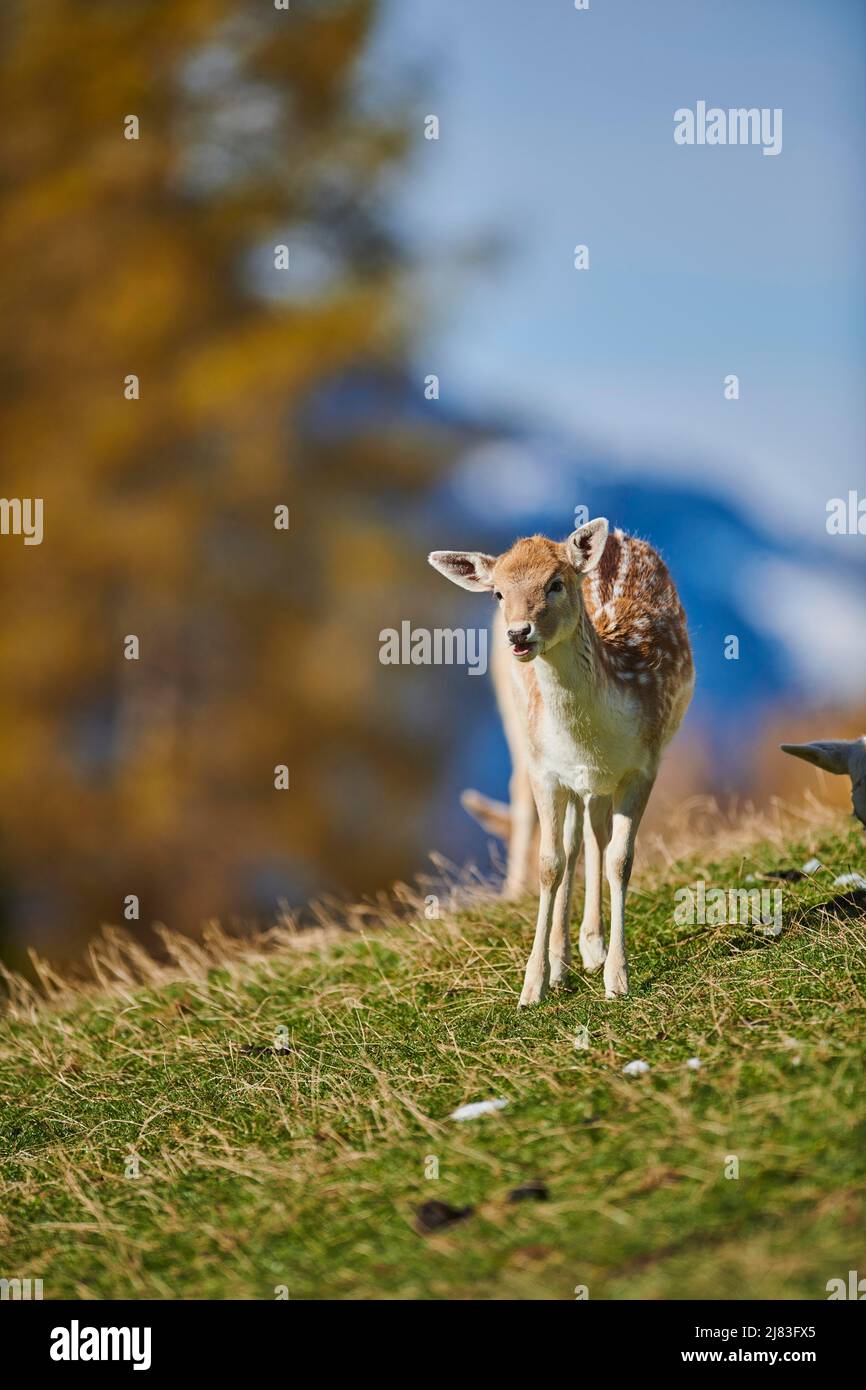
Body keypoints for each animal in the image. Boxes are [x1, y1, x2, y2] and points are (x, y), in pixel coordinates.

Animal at [429, 518, 694, 1005]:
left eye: (555, 583)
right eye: (497, 593)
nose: (519, 633)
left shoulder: (643, 765)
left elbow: (620, 860)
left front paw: (617, 977)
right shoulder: (546, 772)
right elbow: (549, 864)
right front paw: (532, 986)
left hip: (596, 780)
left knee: (592, 836)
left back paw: (591, 948)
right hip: (521, 732)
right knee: (567, 837)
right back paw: (563, 962)